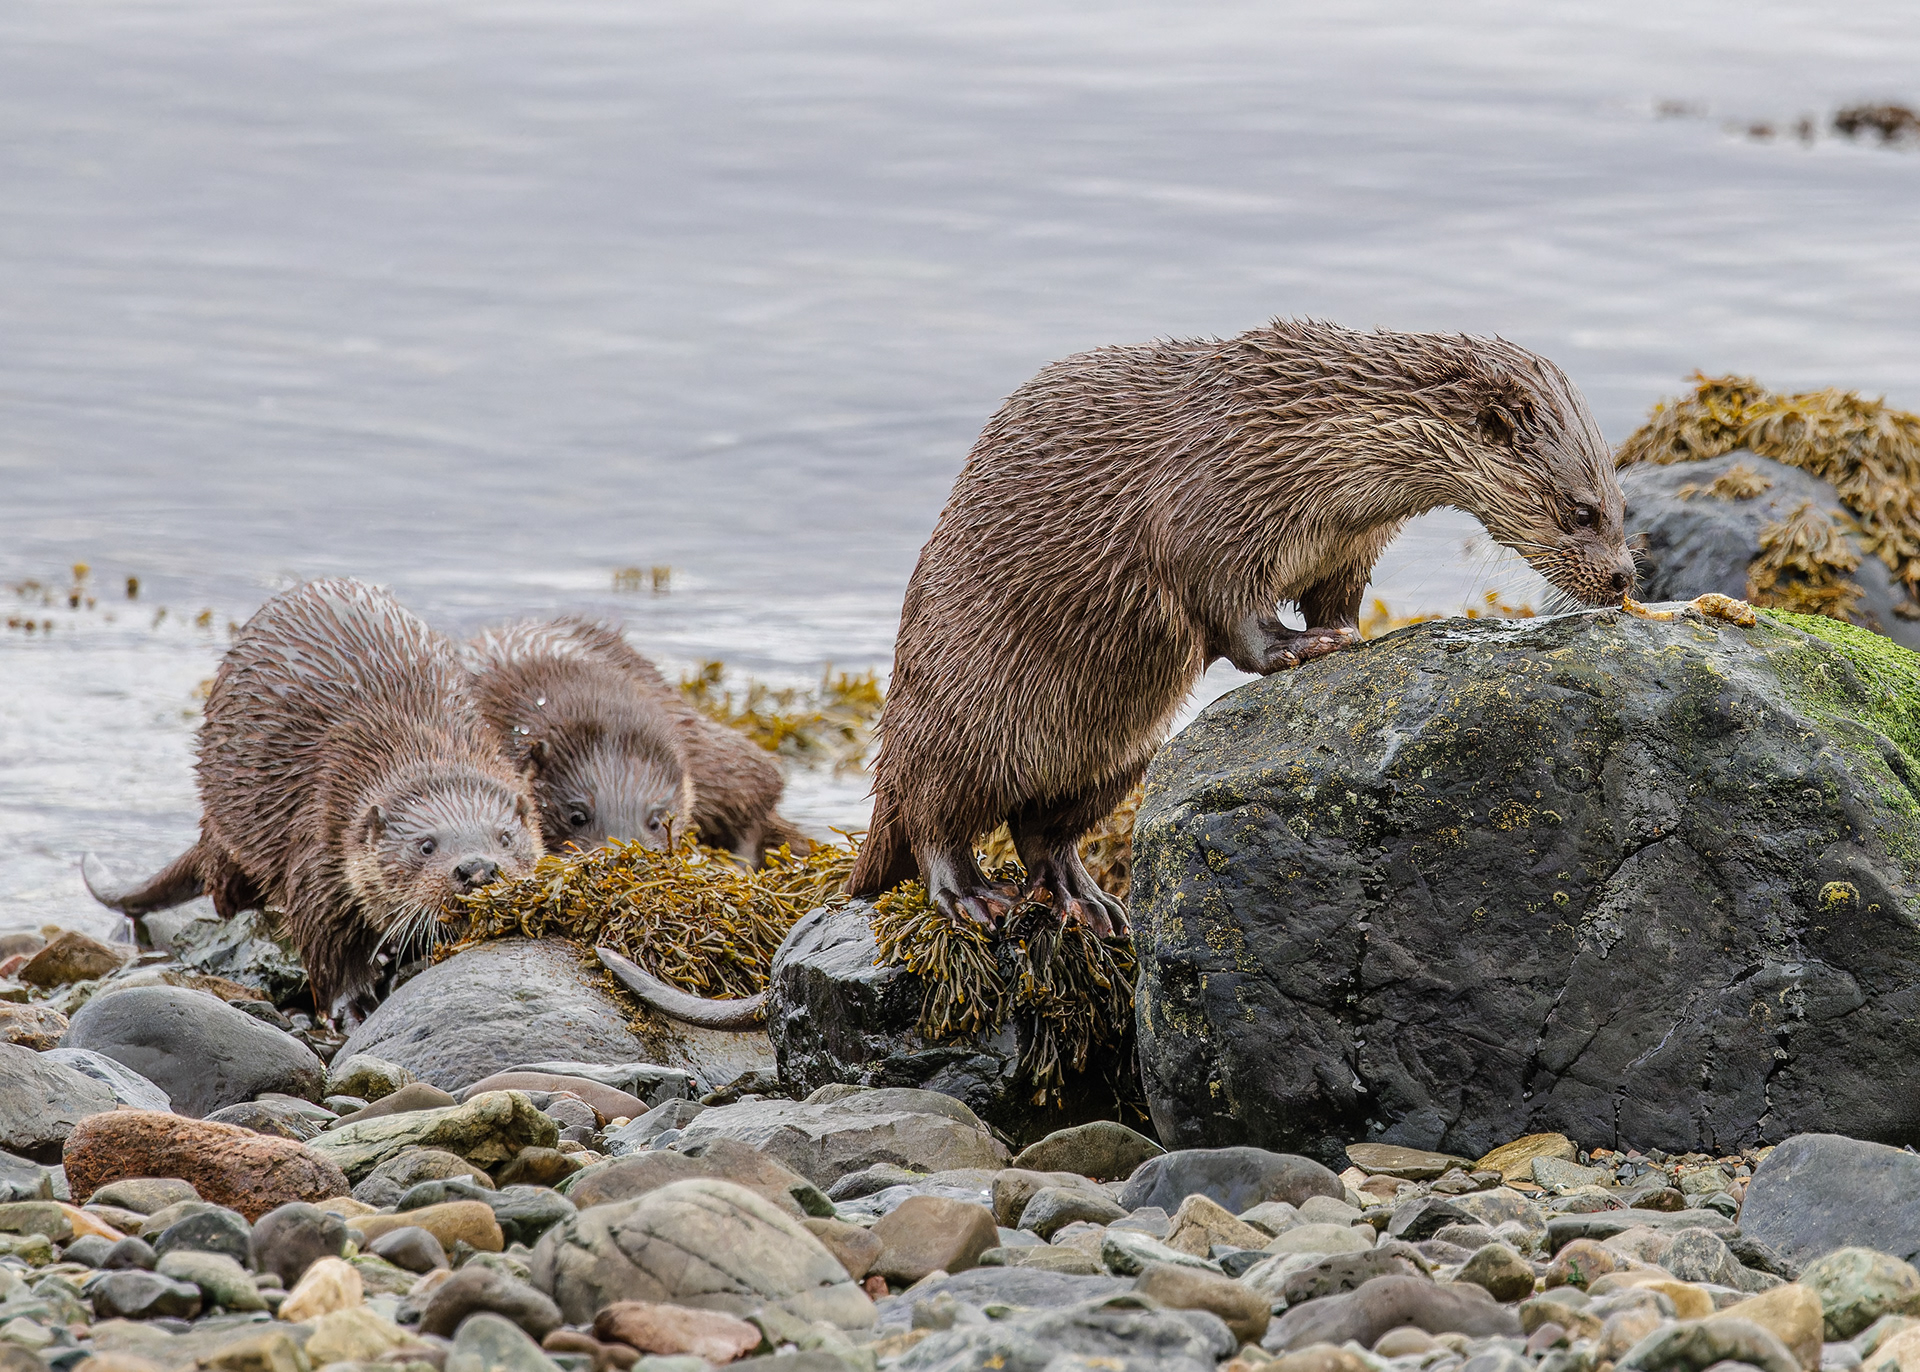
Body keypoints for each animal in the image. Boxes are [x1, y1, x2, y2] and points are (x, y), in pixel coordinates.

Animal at [83, 578, 544, 1013]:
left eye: (505, 838)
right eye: (426, 845)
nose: (477, 867)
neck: (419, 744)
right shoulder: (319, 843)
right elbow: (325, 942)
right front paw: (351, 1006)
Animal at [846, 319, 1636, 936]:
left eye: (1623, 503)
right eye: (1583, 509)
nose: (1625, 579)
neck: (1308, 440)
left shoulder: (1351, 542)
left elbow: (1336, 598)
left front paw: (1352, 634)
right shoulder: (1208, 503)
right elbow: (1228, 609)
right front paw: (1299, 648)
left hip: (1116, 754)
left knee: (1045, 830)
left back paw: (1086, 900)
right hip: (959, 714)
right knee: (931, 815)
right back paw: (972, 897)